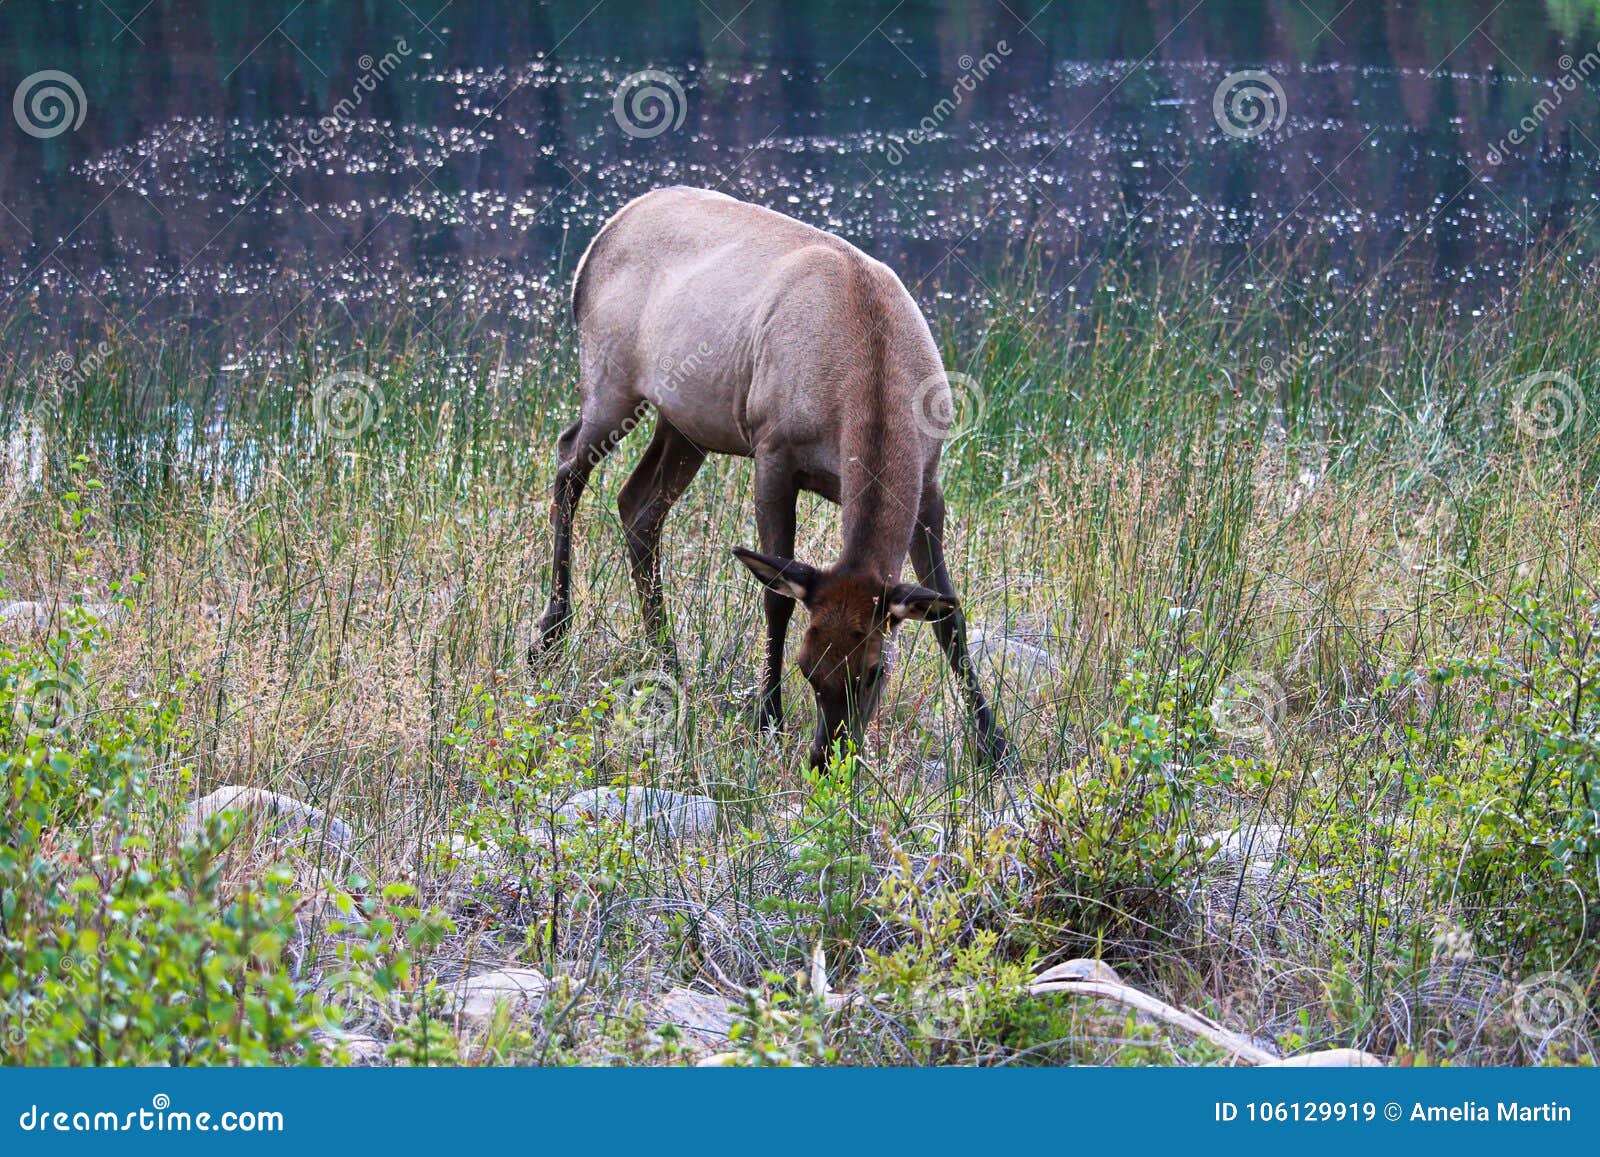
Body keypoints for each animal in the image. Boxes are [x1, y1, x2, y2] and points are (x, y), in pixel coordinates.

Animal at [532, 186, 1007, 771]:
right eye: (808, 665)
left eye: (875, 669)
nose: (827, 758)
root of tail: (599, 240)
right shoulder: (774, 452)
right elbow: (777, 597)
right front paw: (768, 720)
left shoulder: (930, 480)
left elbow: (949, 615)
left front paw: (995, 746)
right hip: (610, 380)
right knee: (568, 461)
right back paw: (550, 635)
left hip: (687, 421)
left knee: (637, 503)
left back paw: (668, 661)